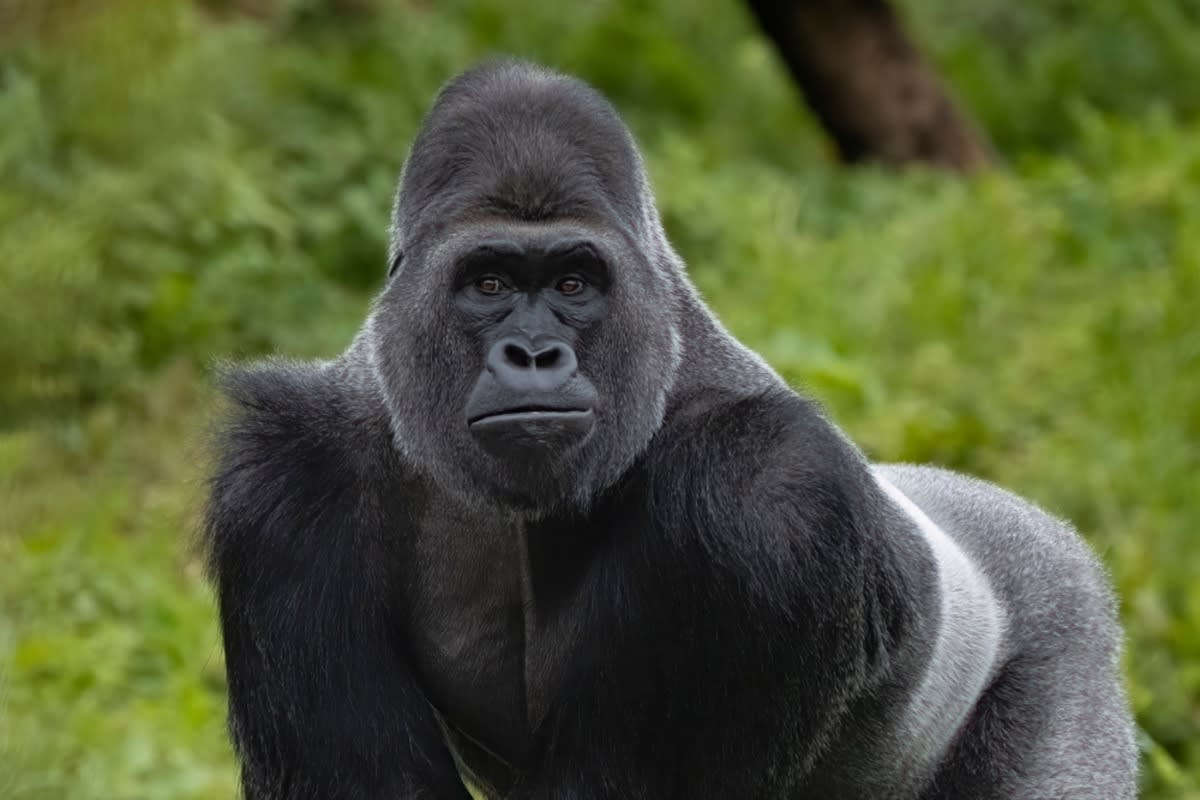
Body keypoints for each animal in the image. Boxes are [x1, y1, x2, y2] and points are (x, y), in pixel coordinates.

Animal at [205, 60, 1138, 799]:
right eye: (489, 282)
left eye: (575, 284)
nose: (533, 354)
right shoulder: (288, 486)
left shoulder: (766, 496)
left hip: (1067, 635)